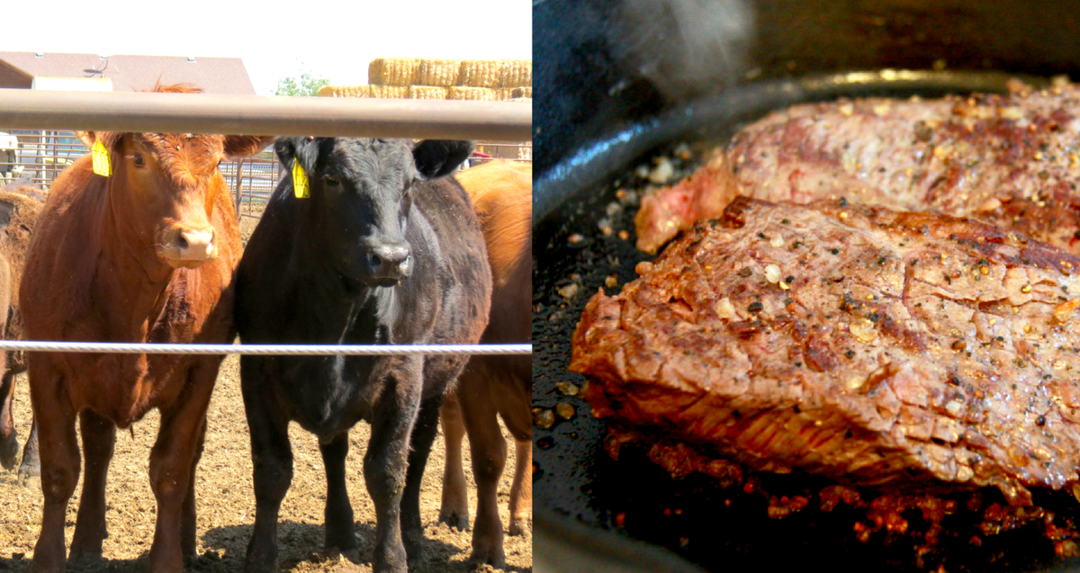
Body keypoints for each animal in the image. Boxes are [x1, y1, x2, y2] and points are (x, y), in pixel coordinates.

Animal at [20, 84, 273, 573]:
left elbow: (172, 469)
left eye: (217, 163)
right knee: (98, 449)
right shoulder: (47, 367)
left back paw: (187, 541)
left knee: (186, 457)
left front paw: (168, 557)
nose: (195, 240)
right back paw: (87, 539)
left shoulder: (199, 375)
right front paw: (50, 558)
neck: (132, 302)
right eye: (138, 158)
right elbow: (60, 469)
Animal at [234, 137, 491, 573]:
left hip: (435, 386)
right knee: (334, 451)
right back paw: (340, 534)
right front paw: (260, 558)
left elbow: (387, 472)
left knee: (418, 454)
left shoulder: (403, 380)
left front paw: (391, 559)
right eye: (333, 179)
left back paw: (412, 537)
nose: (390, 257)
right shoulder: (257, 374)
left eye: (409, 184)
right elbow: (272, 471)